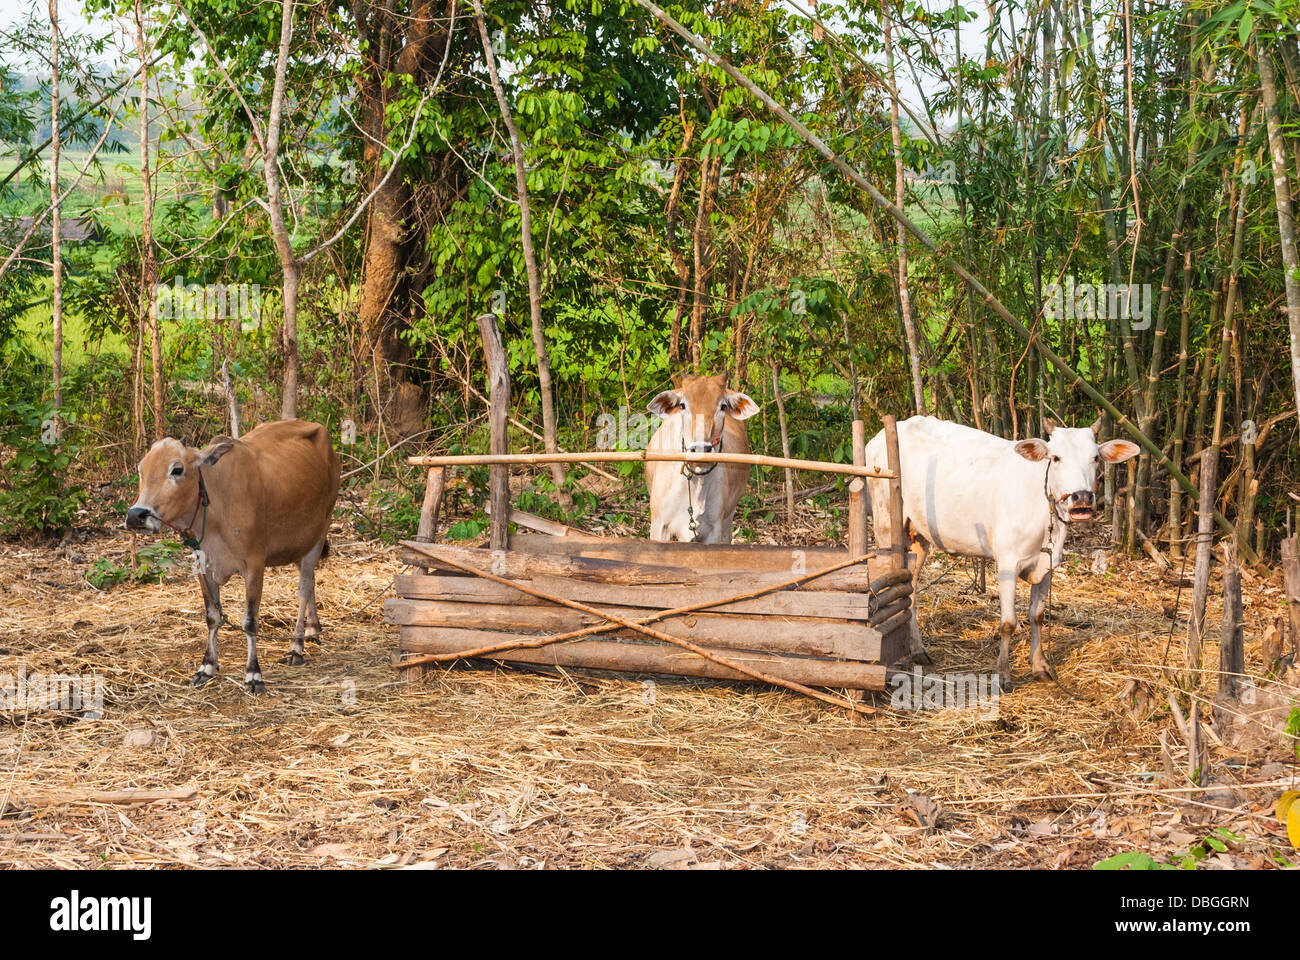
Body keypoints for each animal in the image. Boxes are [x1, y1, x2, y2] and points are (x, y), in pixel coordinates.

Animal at [126, 419, 341, 693]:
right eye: (141, 469)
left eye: (177, 469)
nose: (135, 516)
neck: (216, 507)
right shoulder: (202, 565)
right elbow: (212, 616)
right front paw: (206, 667)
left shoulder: (254, 565)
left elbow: (249, 621)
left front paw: (253, 674)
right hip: (300, 540)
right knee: (311, 581)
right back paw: (313, 629)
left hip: (321, 529)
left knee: (304, 588)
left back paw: (297, 645)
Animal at [645, 374, 759, 544]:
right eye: (682, 405)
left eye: (723, 406)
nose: (700, 449)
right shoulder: (659, 526)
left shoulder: (714, 531)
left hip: (728, 518)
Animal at [865, 415, 1139, 689]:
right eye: (1056, 457)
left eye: (1095, 457)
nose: (1081, 498)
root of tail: (878, 438)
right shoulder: (1008, 563)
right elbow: (1008, 623)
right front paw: (1004, 674)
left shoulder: (1048, 565)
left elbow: (1037, 615)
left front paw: (1040, 666)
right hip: (886, 525)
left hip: (919, 538)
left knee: (910, 590)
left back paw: (918, 650)